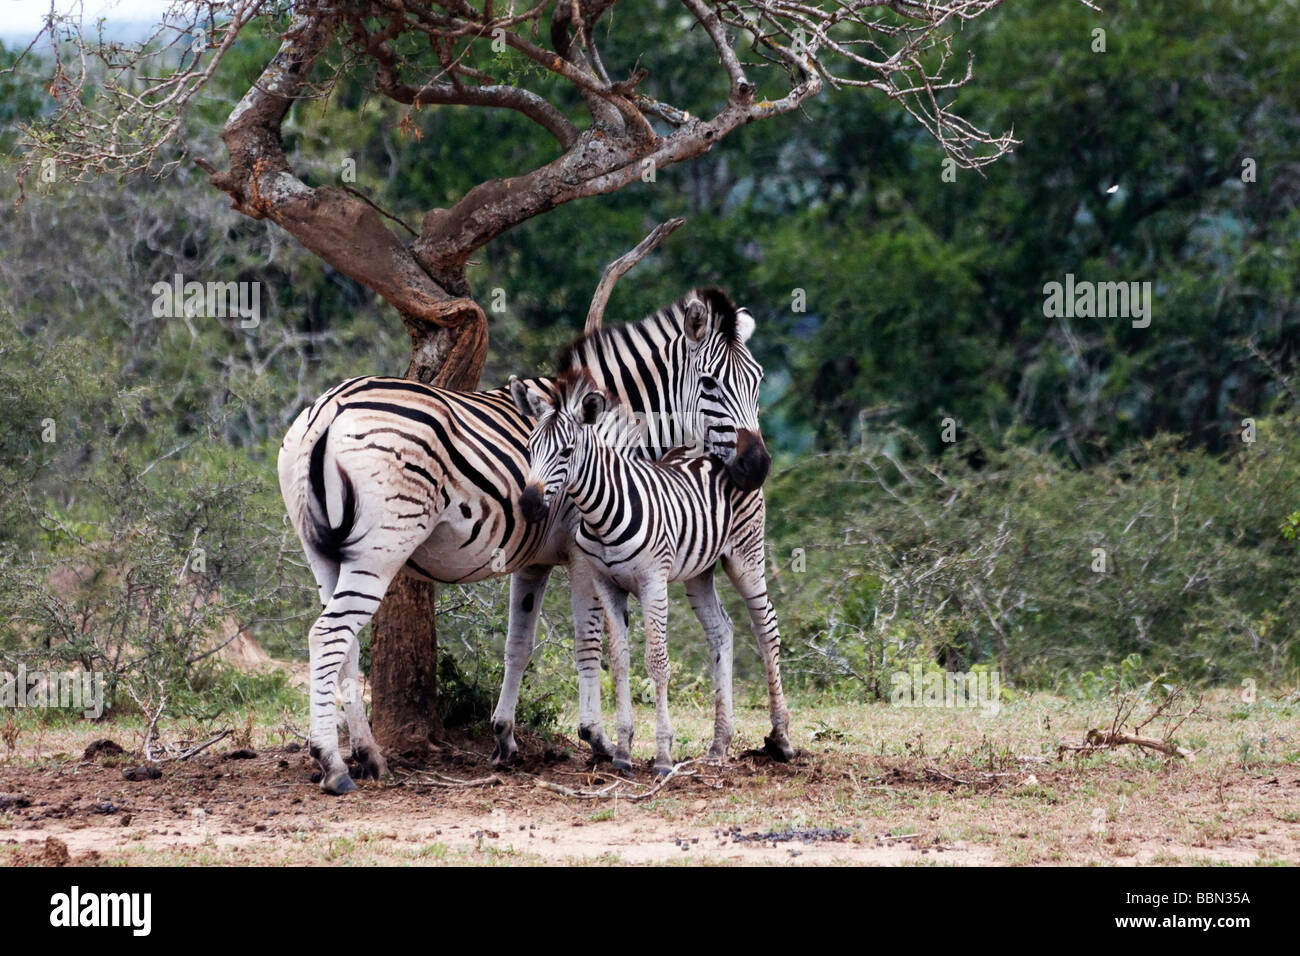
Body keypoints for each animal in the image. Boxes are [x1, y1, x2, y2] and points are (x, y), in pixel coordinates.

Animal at [511, 367, 794, 774]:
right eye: (531, 449)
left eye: (566, 452)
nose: (529, 505)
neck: (600, 512)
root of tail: (715, 450)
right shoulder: (606, 583)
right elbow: (619, 660)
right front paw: (623, 752)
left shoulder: (652, 581)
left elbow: (657, 662)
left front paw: (662, 756)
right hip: (698, 571)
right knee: (721, 629)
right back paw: (718, 745)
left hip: (746, 555)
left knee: (766, 627)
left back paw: (782, 739)